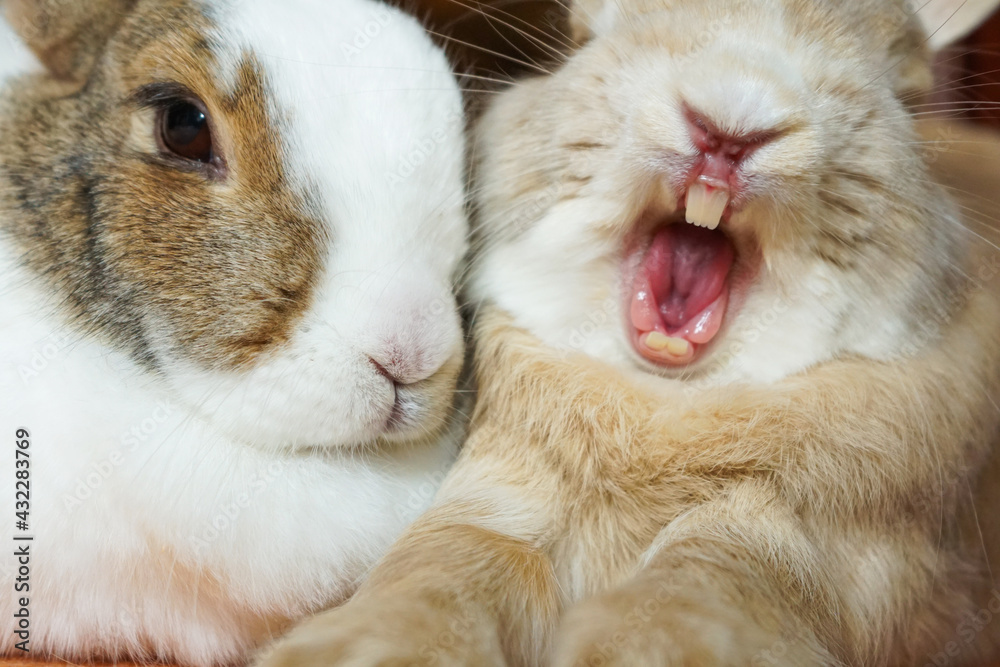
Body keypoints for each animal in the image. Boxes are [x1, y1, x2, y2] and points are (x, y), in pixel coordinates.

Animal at [252, 0, 1000, 666]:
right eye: (586, 35)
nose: (731, 122)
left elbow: (697, 591)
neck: (658, 399)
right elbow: (450, 566)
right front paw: (362, 647)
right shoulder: (494, 498)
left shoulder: (802, 545)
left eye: (902, 87)